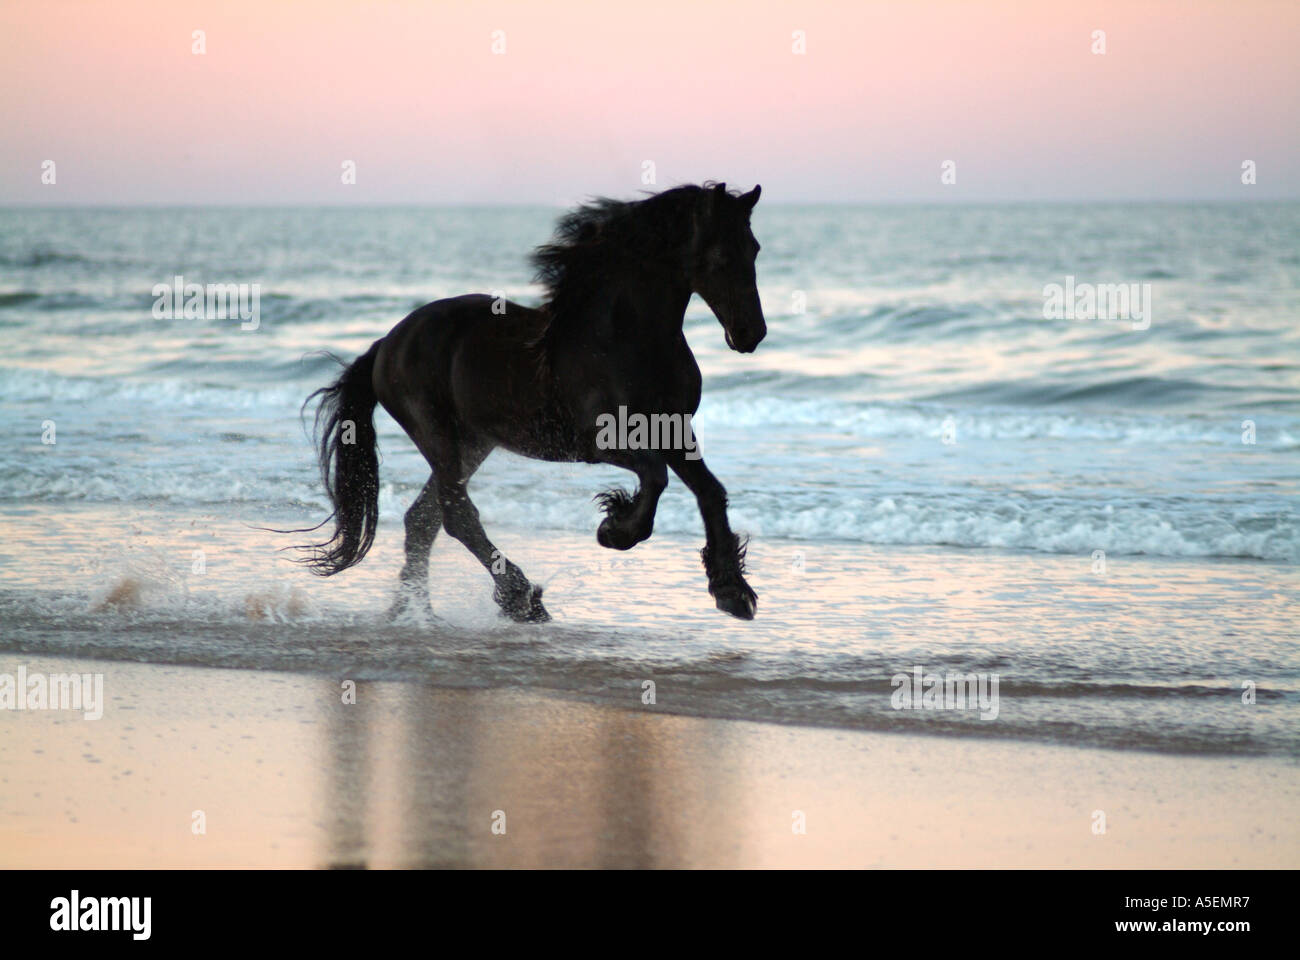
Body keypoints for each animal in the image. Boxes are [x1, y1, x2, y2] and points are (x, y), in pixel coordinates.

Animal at [296, 181, 766, 623]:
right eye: (720, 255)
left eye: (754, 249)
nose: (751, 334)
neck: (625, 339)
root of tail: (386, 343)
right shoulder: (605, 442)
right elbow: (655, 478)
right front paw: (615, 529)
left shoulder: (673, 432)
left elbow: (710, 491)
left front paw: (732, 592)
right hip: (437, 437)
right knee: (456, 516)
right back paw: (521, 600)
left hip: (472, 444)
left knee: (423, 520)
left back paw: (414, 613)